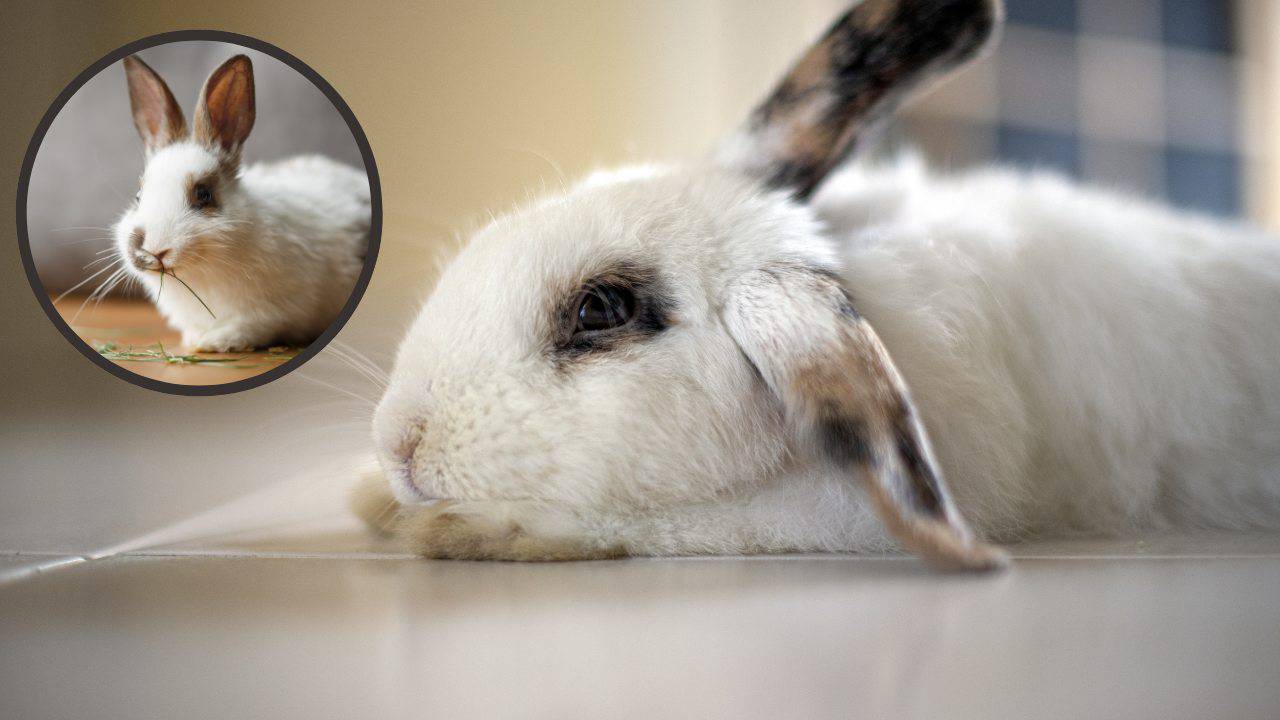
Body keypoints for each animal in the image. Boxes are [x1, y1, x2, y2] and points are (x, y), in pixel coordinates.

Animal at [112, 53, 370, 352]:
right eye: (138, 196)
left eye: (204, 194)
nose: (153, 251)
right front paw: (195, 339)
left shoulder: (274, 312)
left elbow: (251, 327)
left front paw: (214, 342)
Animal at [355, 0, 1280, 570]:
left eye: (601, 308)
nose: (398, 441)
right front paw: (371, 498)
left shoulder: (820, 515)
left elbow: (656, 524)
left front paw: (461, 528)